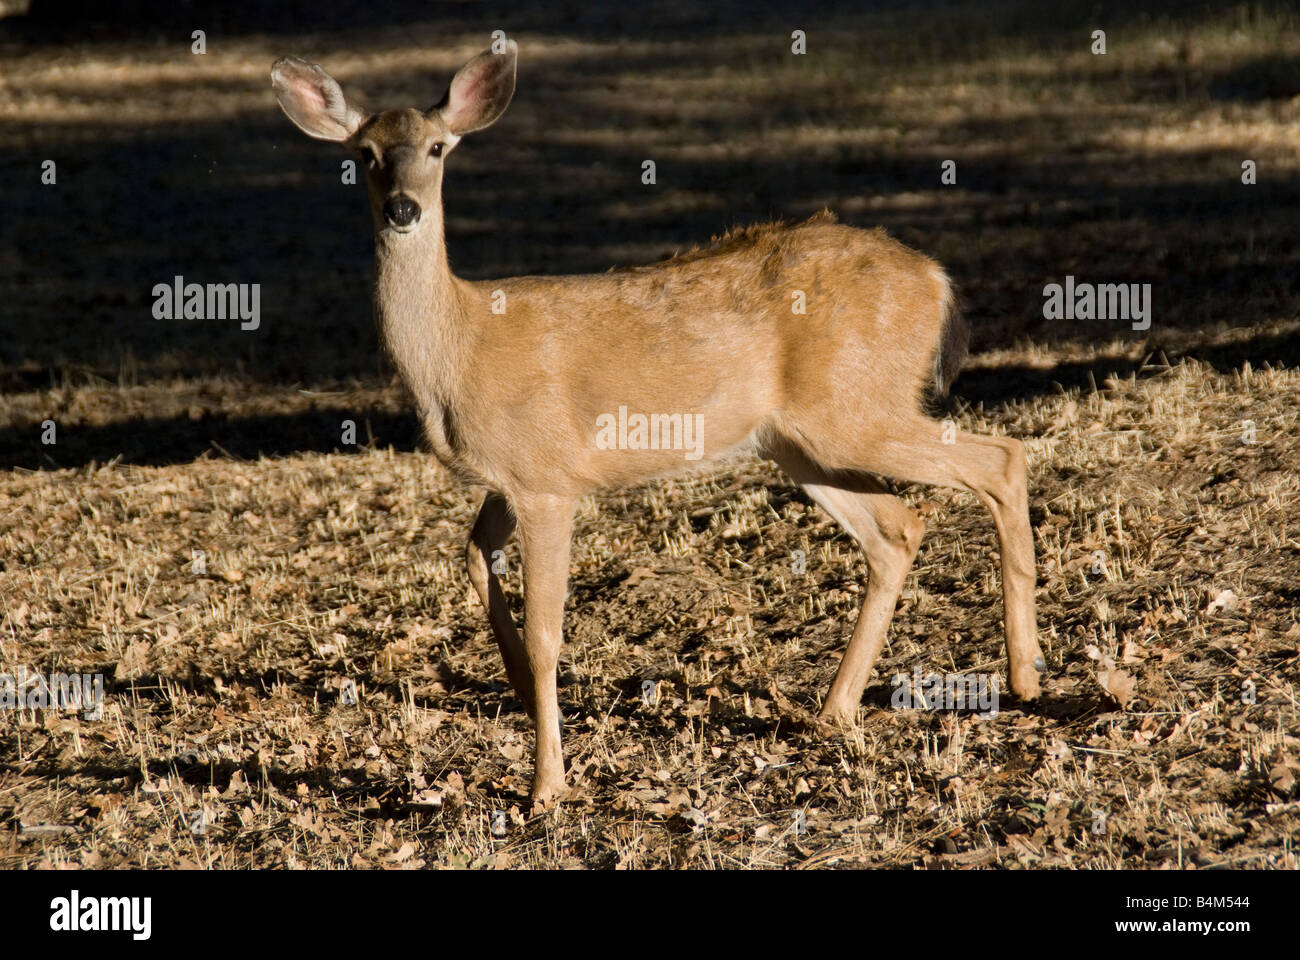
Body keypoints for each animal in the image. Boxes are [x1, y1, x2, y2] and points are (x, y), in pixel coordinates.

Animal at [270, 40, 1046, 807]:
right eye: (366, 152)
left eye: (436, 147)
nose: (402, 208)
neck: (458, 352)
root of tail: (937, 280)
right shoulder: (508, 477)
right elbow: (471, 555)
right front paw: (517, 686)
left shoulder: (547, 478)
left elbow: (549, 631)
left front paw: (546, 786)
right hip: (800, 441)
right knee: (897, 528)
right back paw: (836, 709)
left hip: (855, 408)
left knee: (1001, 458)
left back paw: (1024, 675)